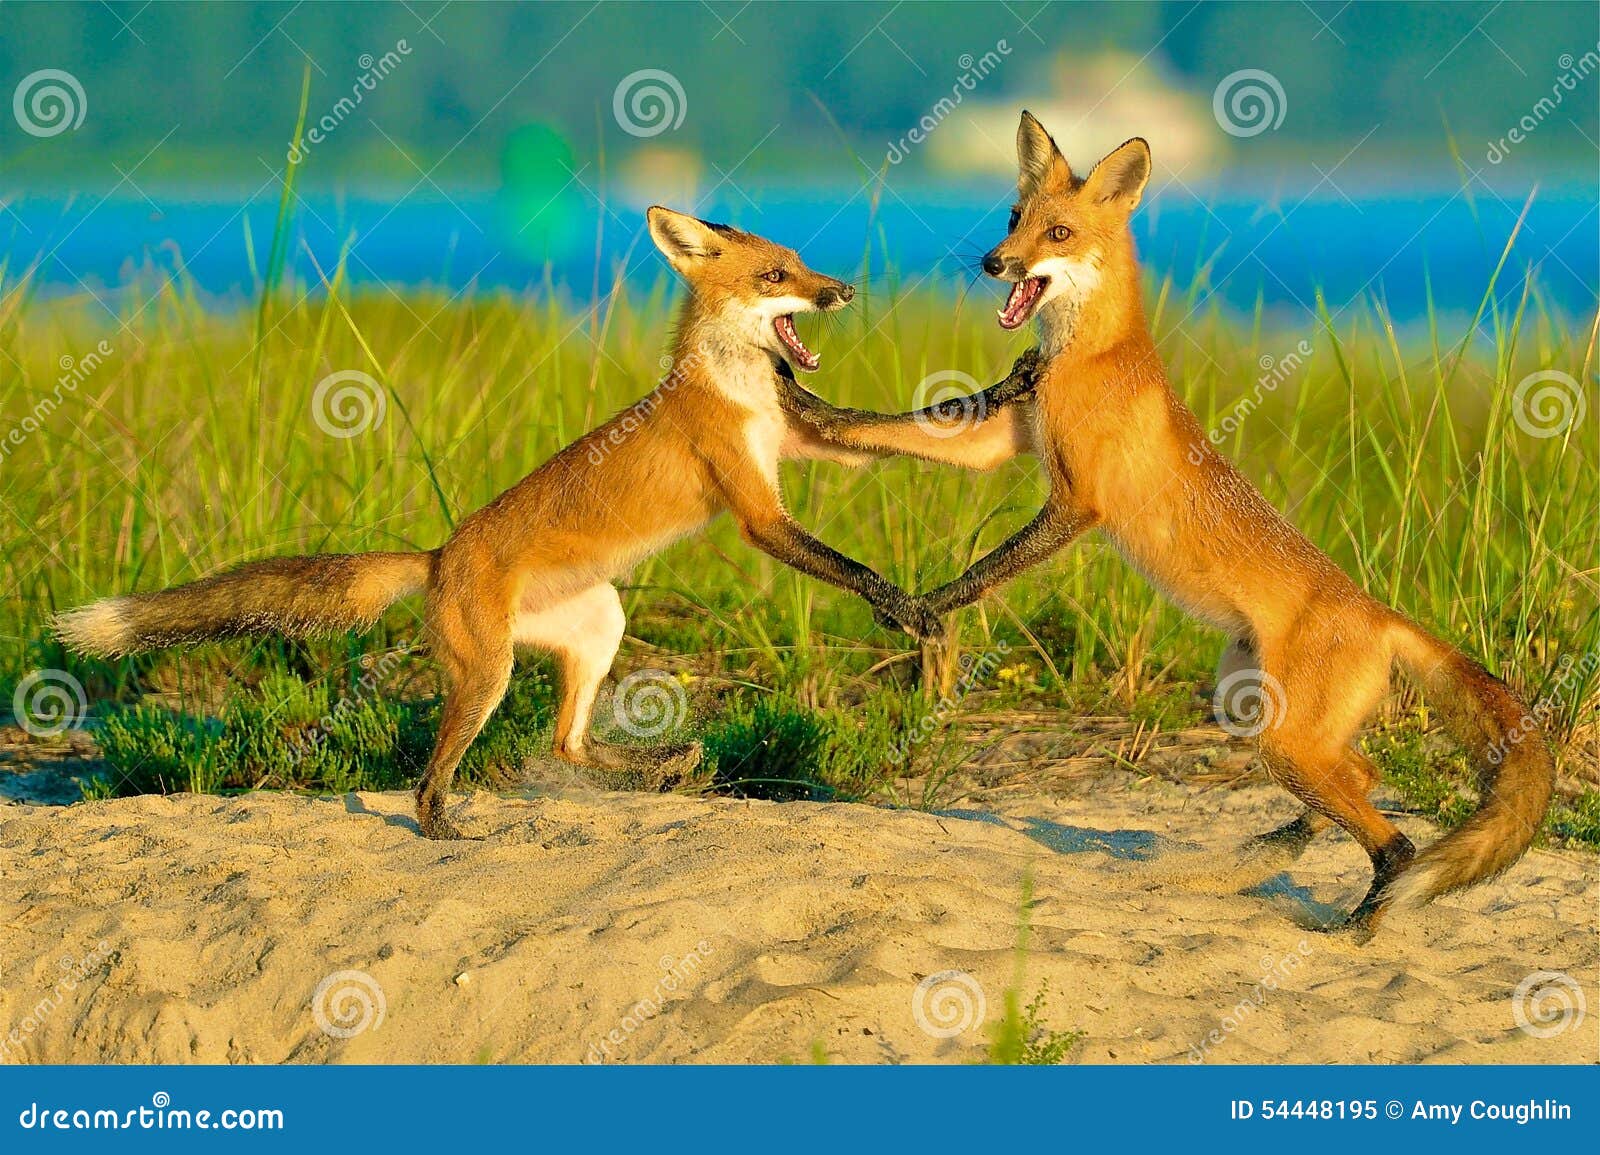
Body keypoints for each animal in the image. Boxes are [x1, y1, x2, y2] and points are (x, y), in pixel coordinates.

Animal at [55, 206, 1040, 840]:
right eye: (776, 275)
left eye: (801, 263)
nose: (841, 290)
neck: (738, 384)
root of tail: (437, 553)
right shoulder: (757, 506)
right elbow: (847, 563)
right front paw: (909, 611)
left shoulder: (811, 435)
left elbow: (905, 429)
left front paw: (1013, 385)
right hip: (485, 676)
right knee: (434, 777)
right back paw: (446, 829)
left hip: (599, 625)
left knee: (565, 745)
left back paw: (664, 765)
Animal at [797, 111, 1555, 935]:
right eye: (1013, 218)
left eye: (1057, 232)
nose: (994, 263)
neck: (1088, 354)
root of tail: (1379, 610)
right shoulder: (1002, 436)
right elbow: (890, 429)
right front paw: (814, 414)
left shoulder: (1078, 503)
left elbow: (986, 569)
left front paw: (924, 608)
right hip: (1253, 709)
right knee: (1364, 773)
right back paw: (1281, 848)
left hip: (1283, 739)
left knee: (1397, 838)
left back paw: (1360, 921)